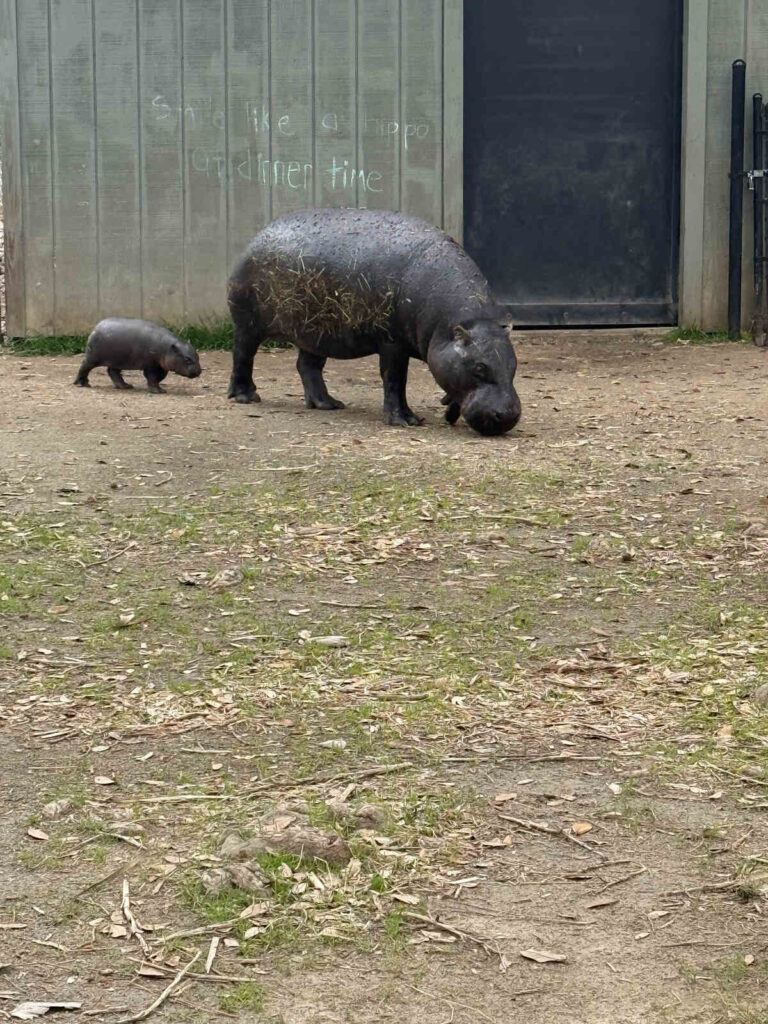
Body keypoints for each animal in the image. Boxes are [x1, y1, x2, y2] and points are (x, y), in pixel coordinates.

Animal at [227, 209, 521, 435]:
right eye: (480, 367)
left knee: (307, 366)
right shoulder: (392, 343)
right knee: (243, 355)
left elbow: (450, 380)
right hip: (247, 322)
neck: (464, 321)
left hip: (315, 333)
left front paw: (448, 411)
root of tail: (257, 237)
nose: (507, 416)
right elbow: (394, 380)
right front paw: (405, 421)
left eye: (514, 365)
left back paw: (328, 404)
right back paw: (246, 397)